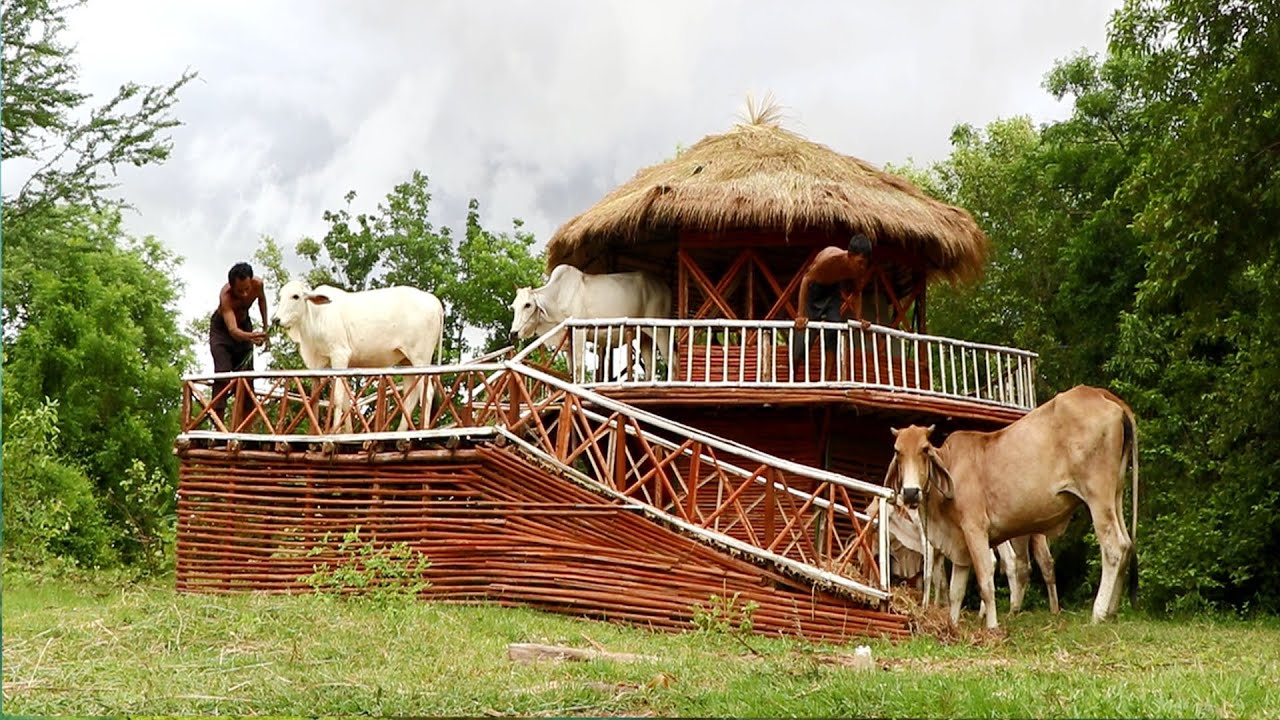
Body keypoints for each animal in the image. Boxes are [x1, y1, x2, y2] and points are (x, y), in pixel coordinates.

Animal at [272, 279, 445, 433]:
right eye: (280, 295)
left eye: (295, 296)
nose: (275, 319)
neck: (316, 316)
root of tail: (435, 302)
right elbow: (346, 401)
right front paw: (346, 431)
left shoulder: (340, 355)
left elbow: (337, 398)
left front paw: (333, 432)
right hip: (406, 362)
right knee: (410, 397)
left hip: (420, 359)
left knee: (427, 393)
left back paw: (423, 430)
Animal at [509, 264, 677, 381]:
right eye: (513, 307)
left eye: (528, 305)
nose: (513, 333)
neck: (556, 298)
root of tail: (665, 287)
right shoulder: (568, 341)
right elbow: (571, 371)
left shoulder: (579, 332)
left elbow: (578, 367)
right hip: (644, 336)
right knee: (649, 365)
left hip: (661, 330)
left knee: (671, 358)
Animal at [886, 385, 1138, 628]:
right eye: (897, 451)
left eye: (925, 449)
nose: (910, 492)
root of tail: (1101, 394)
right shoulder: (959, 542)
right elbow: (957, 590)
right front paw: (952, 626)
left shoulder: (974, 529)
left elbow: (985, 580)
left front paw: (992, 626)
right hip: (1115, 494)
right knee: (1126, 544)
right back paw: (1111, 611)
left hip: (1098, 495)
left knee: (1113, 547)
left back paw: (1098, 612)